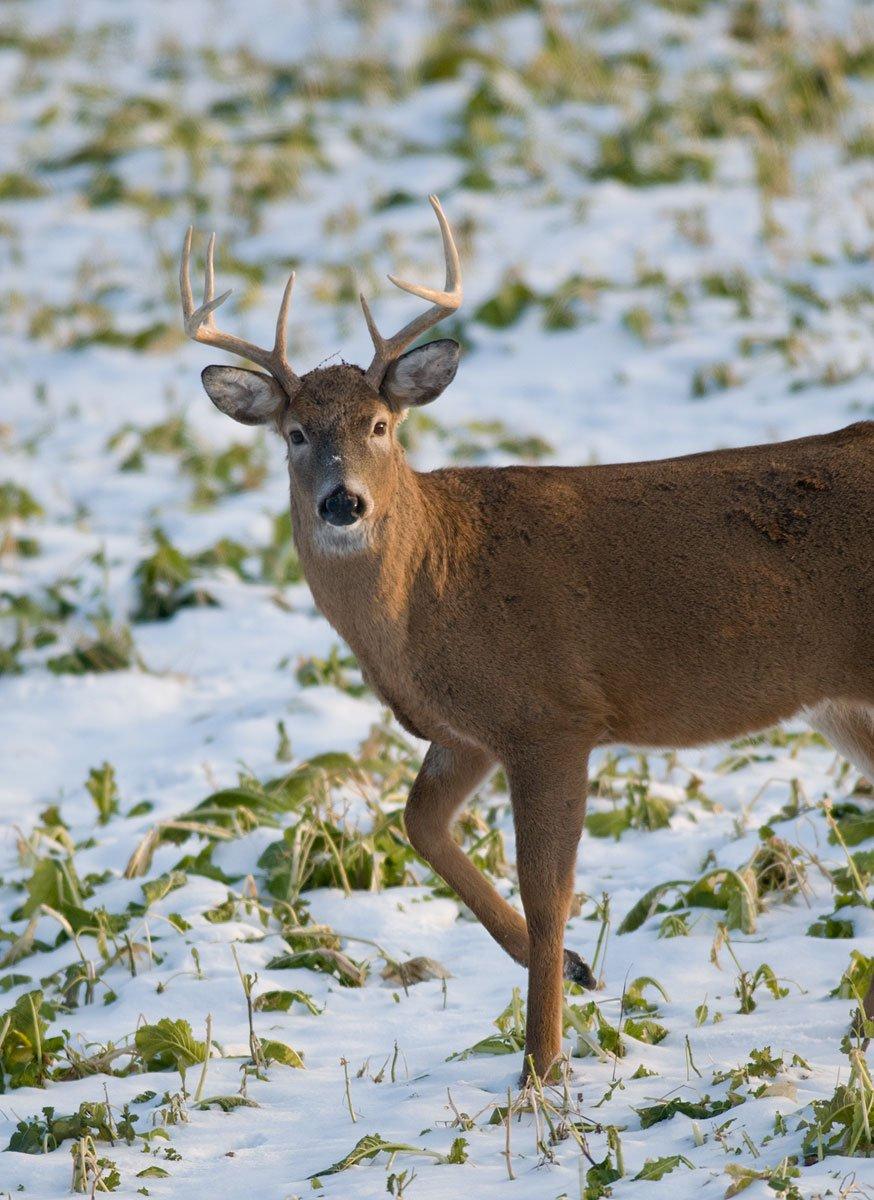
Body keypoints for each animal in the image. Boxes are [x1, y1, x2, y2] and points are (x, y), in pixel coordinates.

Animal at [181, 194, 874, 1080]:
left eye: (380, 424)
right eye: (295, 433)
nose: (344, 503)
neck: (431, 586)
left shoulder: (553, 716)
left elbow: (550, 892)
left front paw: (540, 1067)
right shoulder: (471, 728)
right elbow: (418, 824)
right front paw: (574, 973)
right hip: (840, 703)